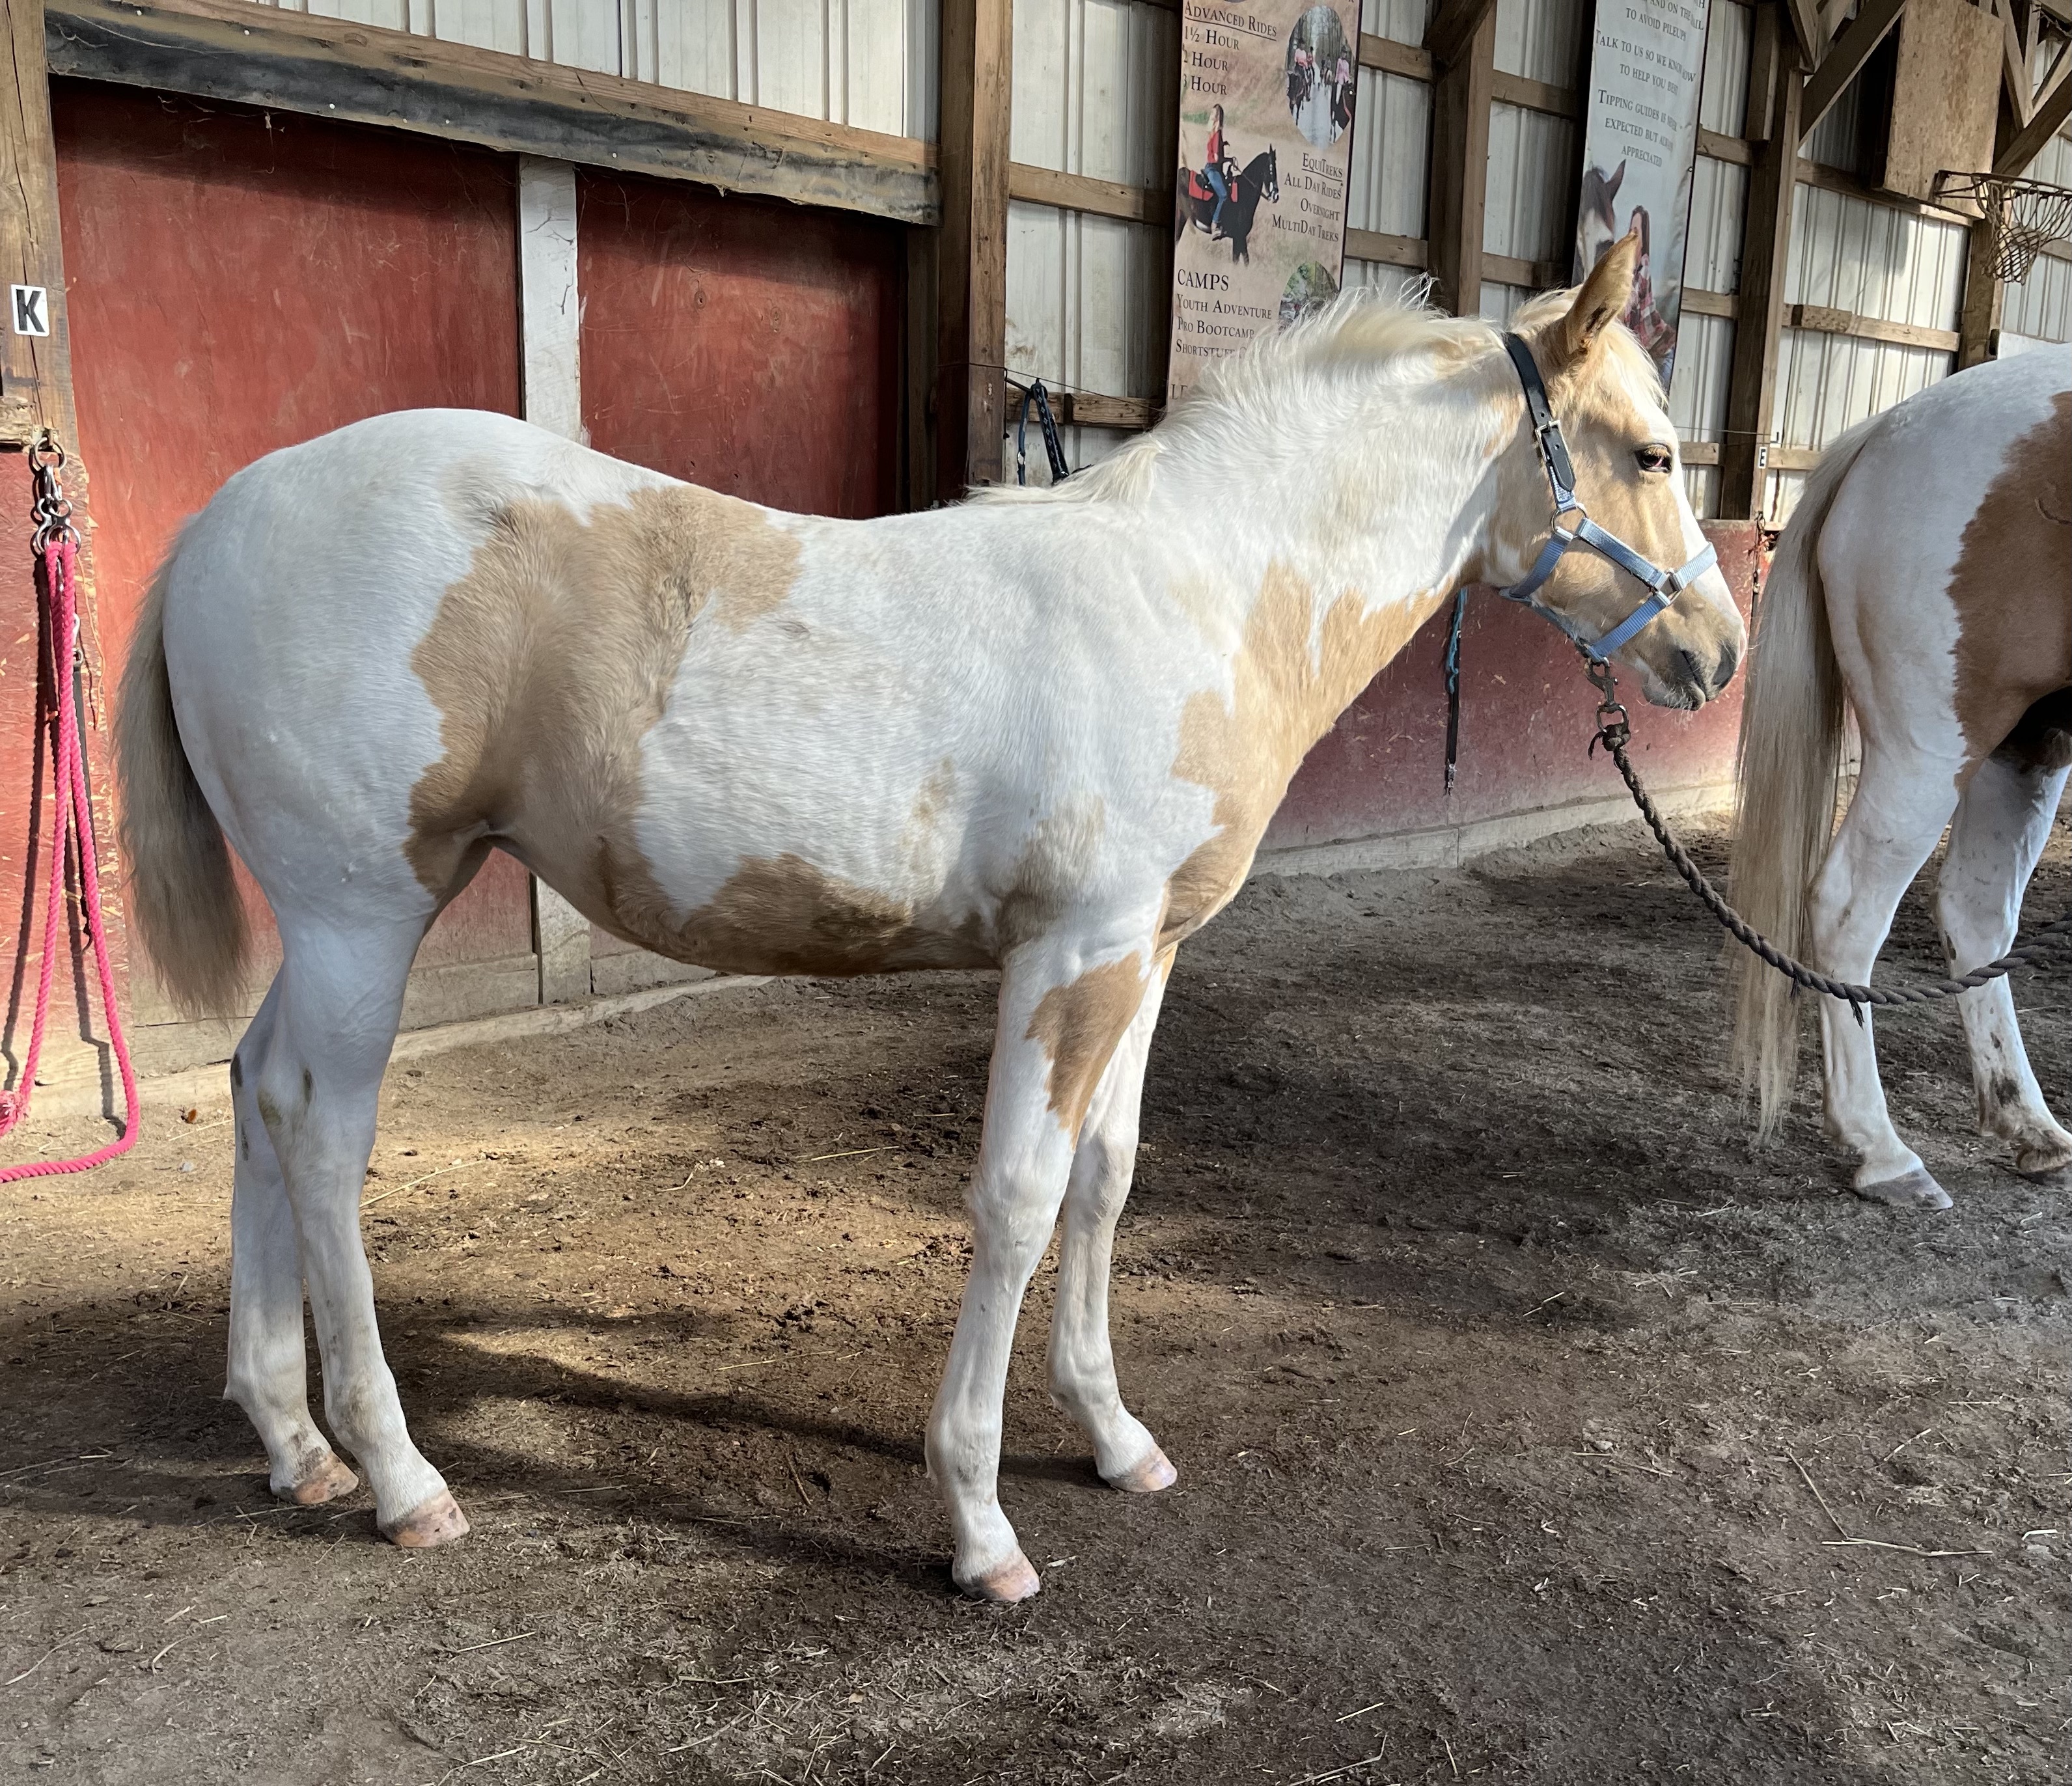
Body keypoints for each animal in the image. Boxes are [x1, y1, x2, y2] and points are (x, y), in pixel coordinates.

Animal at [115, 236, 1739, 1603]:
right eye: (1650, 452)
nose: (1714, 652)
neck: (1195, 595)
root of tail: (210, 523)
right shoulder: (1070, 956)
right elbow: (1016, 1202)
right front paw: (980, 1523)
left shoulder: (1145, 955)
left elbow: (1104, 1182)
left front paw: (1114, 1439)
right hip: (361, 914)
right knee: (322, 1138)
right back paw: (397, 1476)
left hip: (334, 924)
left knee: (257, 1091)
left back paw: (291, 1442)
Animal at [1175, 147, 1279, 263]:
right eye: (1271, 169)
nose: (1276, 195)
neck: (1243, 192)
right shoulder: (1239, 237)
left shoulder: (1239, 238)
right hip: (1180, 219)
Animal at [1727, 345, 2072, 1210]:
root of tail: (1888, 433)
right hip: (1932, 746)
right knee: (1850, 907)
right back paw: (1881, 1148)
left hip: (2030, 741)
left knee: (1978, 912)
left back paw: (2027, 1122)